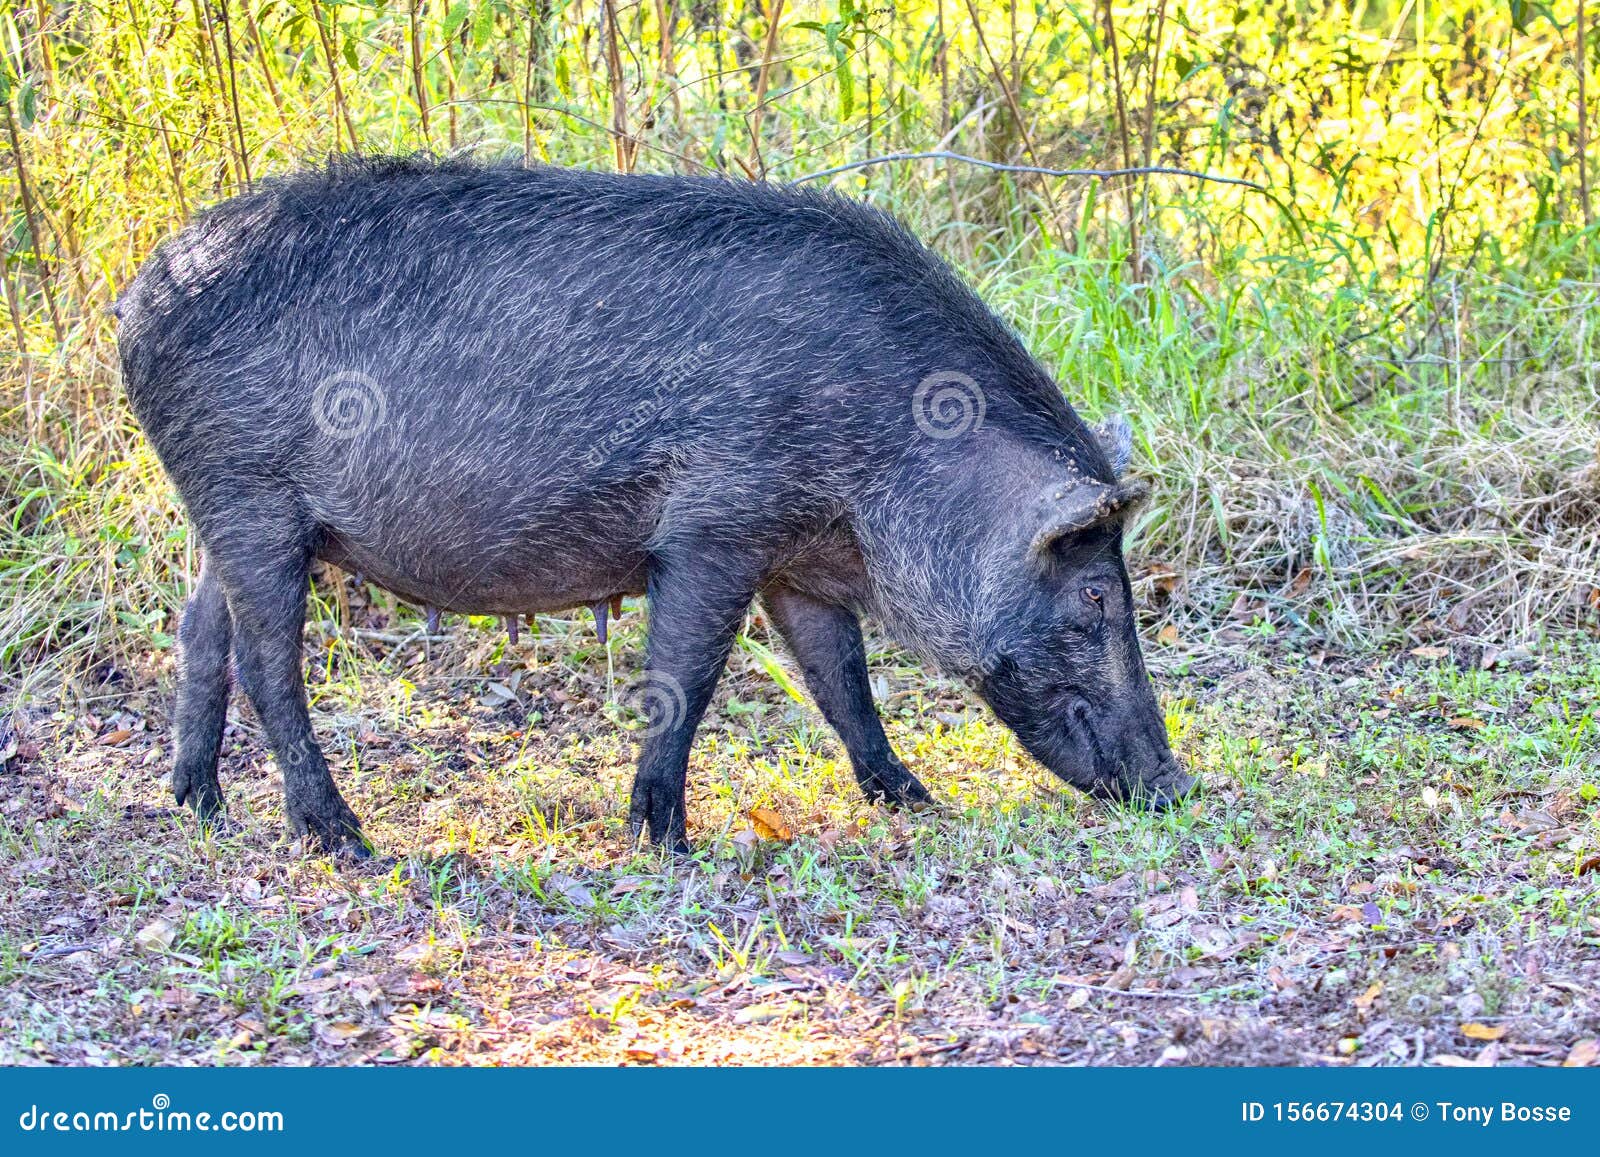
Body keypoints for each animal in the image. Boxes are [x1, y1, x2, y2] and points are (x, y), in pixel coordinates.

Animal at [114, 157, 1194, 858]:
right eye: (1096, 595)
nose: (1179, 787)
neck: (887, 446)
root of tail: (137, 294)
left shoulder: (797, 561)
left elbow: (843, 683)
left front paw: (918, 804)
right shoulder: (714, 526)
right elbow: (687, 678)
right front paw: (665, 839)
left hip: (225, 517)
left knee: (198, 631)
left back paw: (199, 805)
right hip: (250, 498)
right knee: (269, 666)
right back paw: (342, 839)